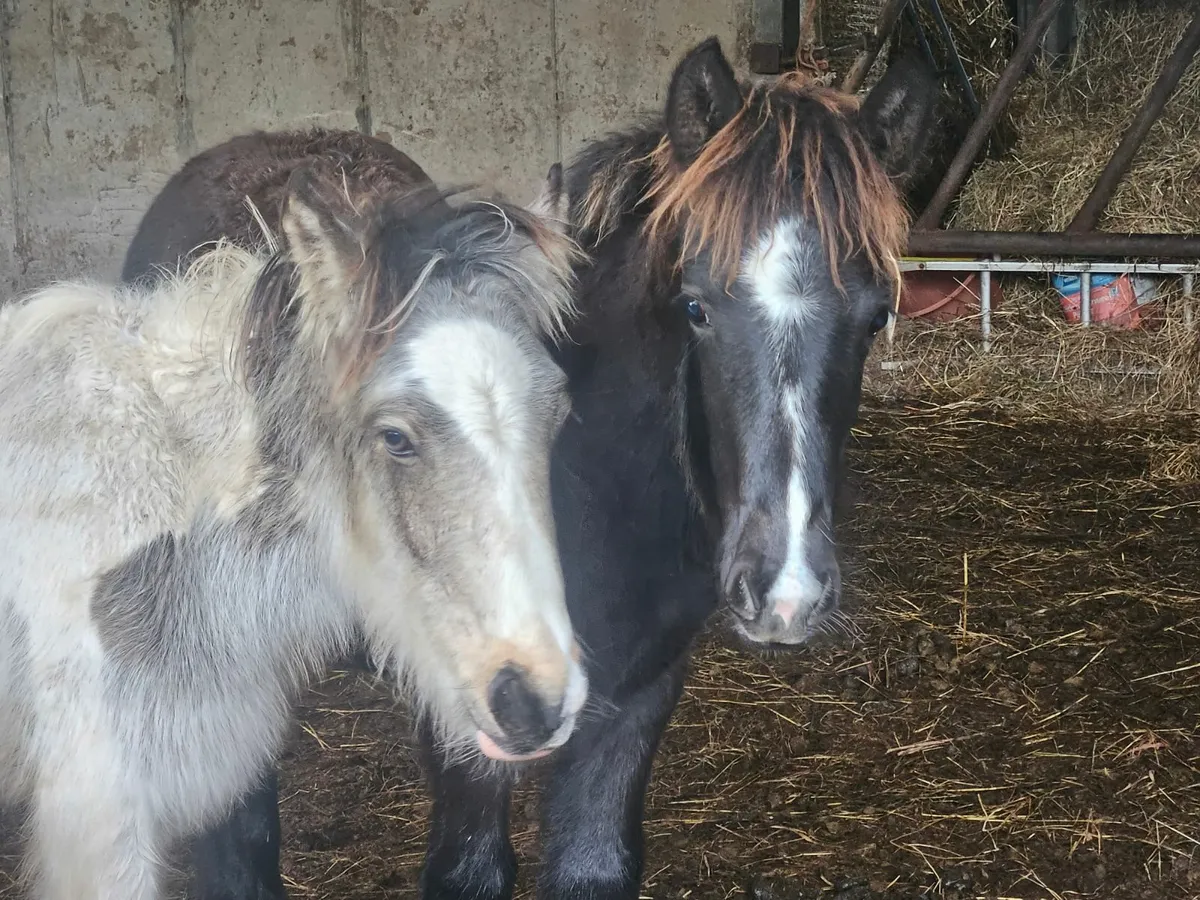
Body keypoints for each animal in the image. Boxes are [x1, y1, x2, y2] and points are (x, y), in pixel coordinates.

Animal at [121, 39, 940, 900]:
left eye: (877, 315)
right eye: (696, 306)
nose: (785, 590)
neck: (589, 492)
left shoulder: (639, 692)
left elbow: (595, 863)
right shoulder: (475, 707)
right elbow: (469, 869)